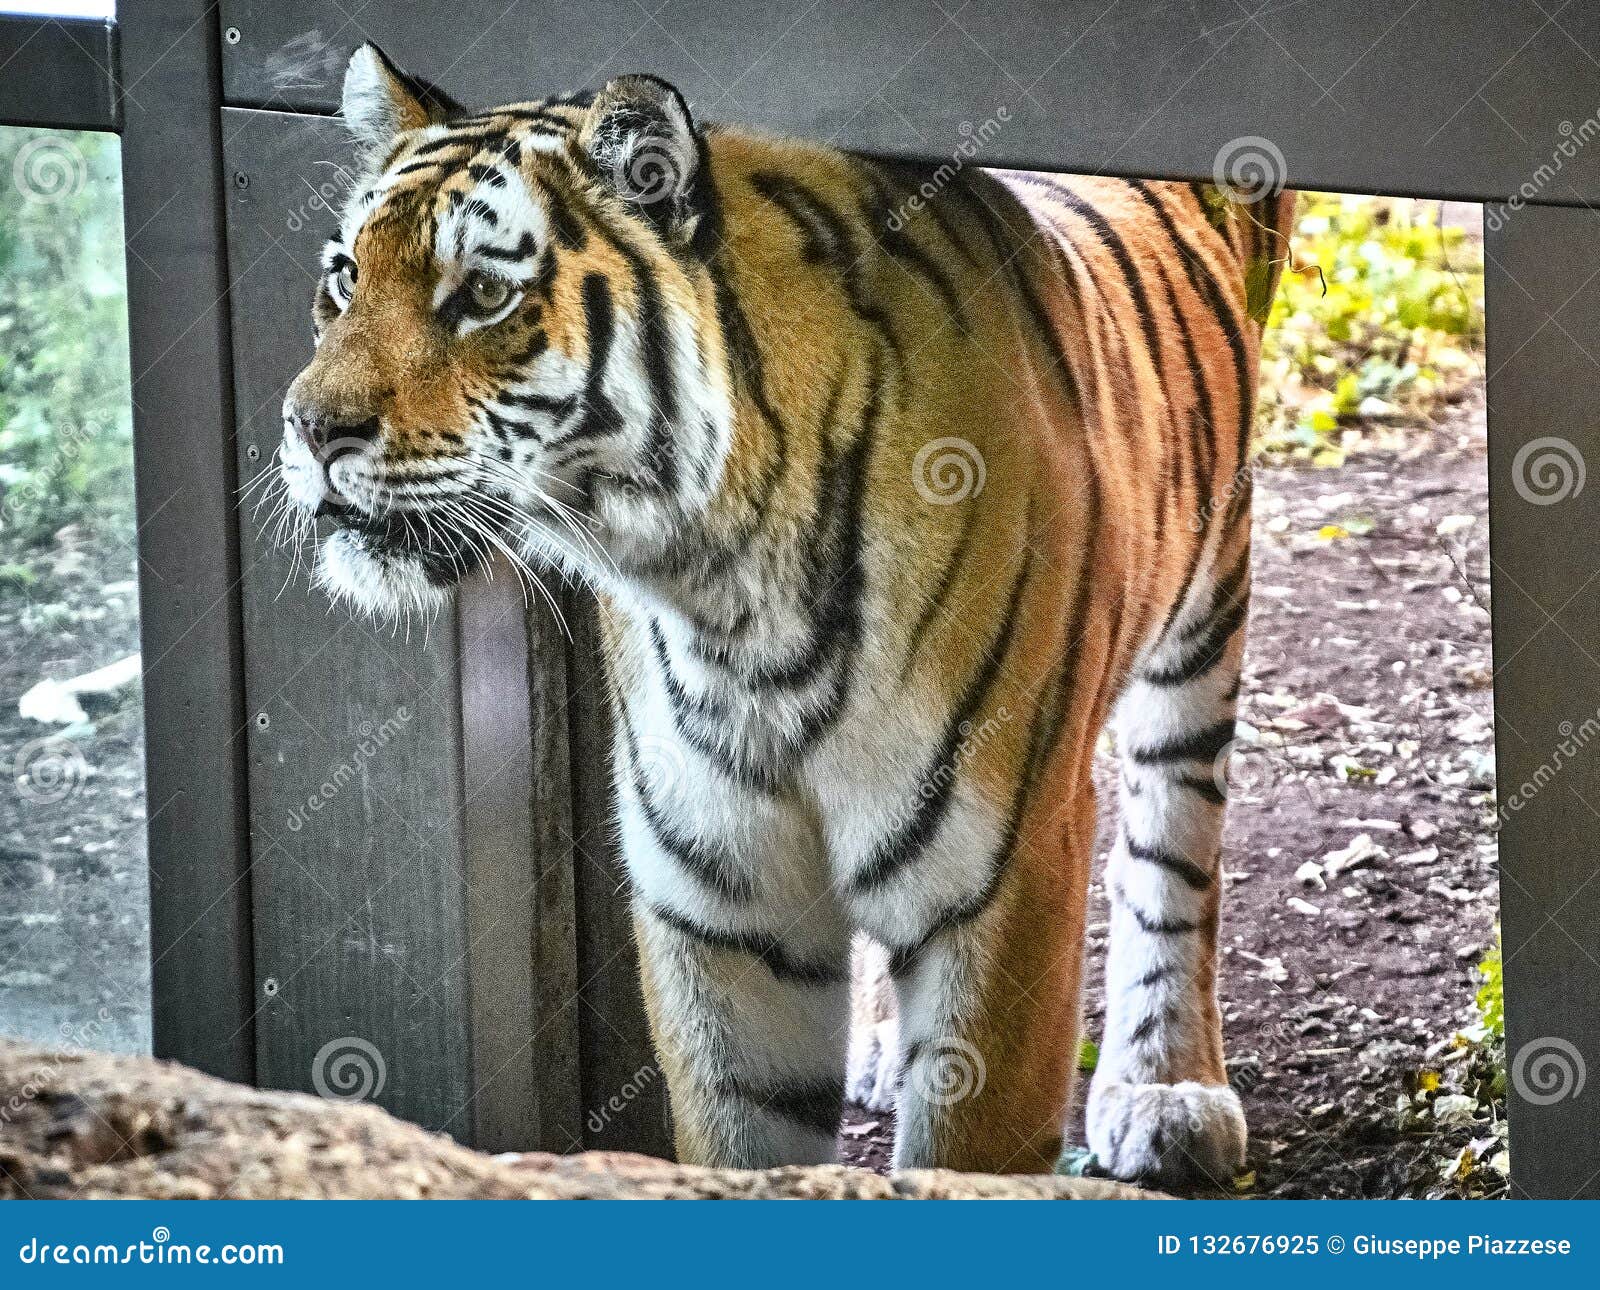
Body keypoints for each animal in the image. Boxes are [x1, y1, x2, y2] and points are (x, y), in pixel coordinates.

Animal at [274, 41, 1293, 1184]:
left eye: (485, 294)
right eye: (344, 277)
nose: (308, 429)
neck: (723, 594)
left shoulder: (1006, 881)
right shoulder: (717, 908)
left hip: (1206, 602)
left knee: (1174, 846)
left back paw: (1169, 1092)